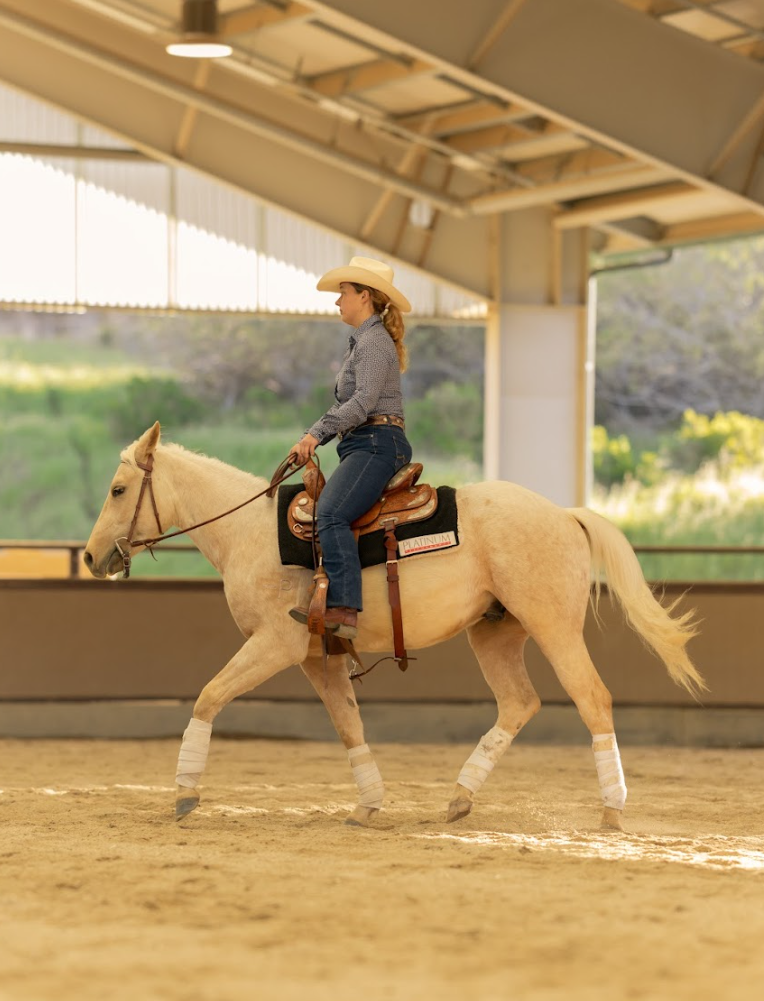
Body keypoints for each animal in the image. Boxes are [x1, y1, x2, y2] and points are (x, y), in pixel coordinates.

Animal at [84, 422, 703, 830]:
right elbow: (349, 727)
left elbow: (209, 696)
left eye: (117, 490)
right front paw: (368, 804)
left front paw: (184, 794)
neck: (249, 534)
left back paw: (612, 809)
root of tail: (566, 515)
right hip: (495, 633)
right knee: (518, 703)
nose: (91, 557)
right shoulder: (319, 656)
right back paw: (460, 798)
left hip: (554, 628)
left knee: (592, 699)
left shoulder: (275, 645)